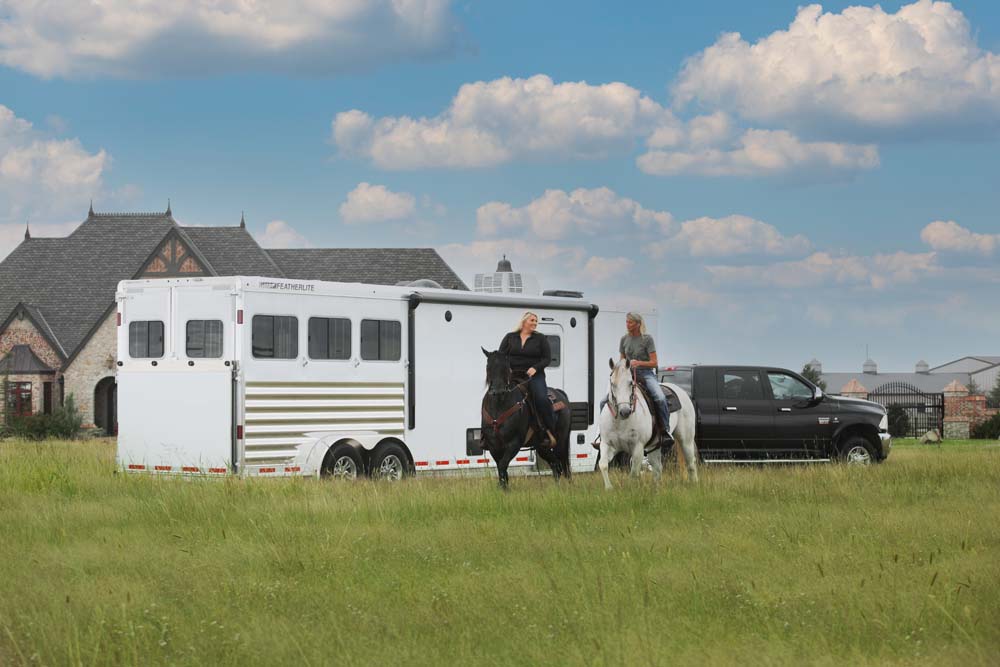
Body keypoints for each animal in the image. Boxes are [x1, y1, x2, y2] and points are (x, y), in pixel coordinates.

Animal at [481, 348, 572, 490]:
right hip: (541, 447)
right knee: (555, 465)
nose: (497, 391)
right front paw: (503, 489)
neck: (499, 407)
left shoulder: (514, 443)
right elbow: (501, 468)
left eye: (506, 367)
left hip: (561, 441)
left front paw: (505, 489)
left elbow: (503, 465)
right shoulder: (493, 445)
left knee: (563, 465)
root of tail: (561, 394)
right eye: (488, 367)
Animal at [598, 358, 698, 489]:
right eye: (612, 384)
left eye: (631, 383)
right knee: (657, 468)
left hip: (686, 440)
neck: (620, 422)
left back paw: (694, 484)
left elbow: (634, 472)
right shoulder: (607, 444)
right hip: (655, 445)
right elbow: (603, 465)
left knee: (691, 463)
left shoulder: (638, 447)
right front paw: (609, 488)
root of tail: (681, 391)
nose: (625, 411)